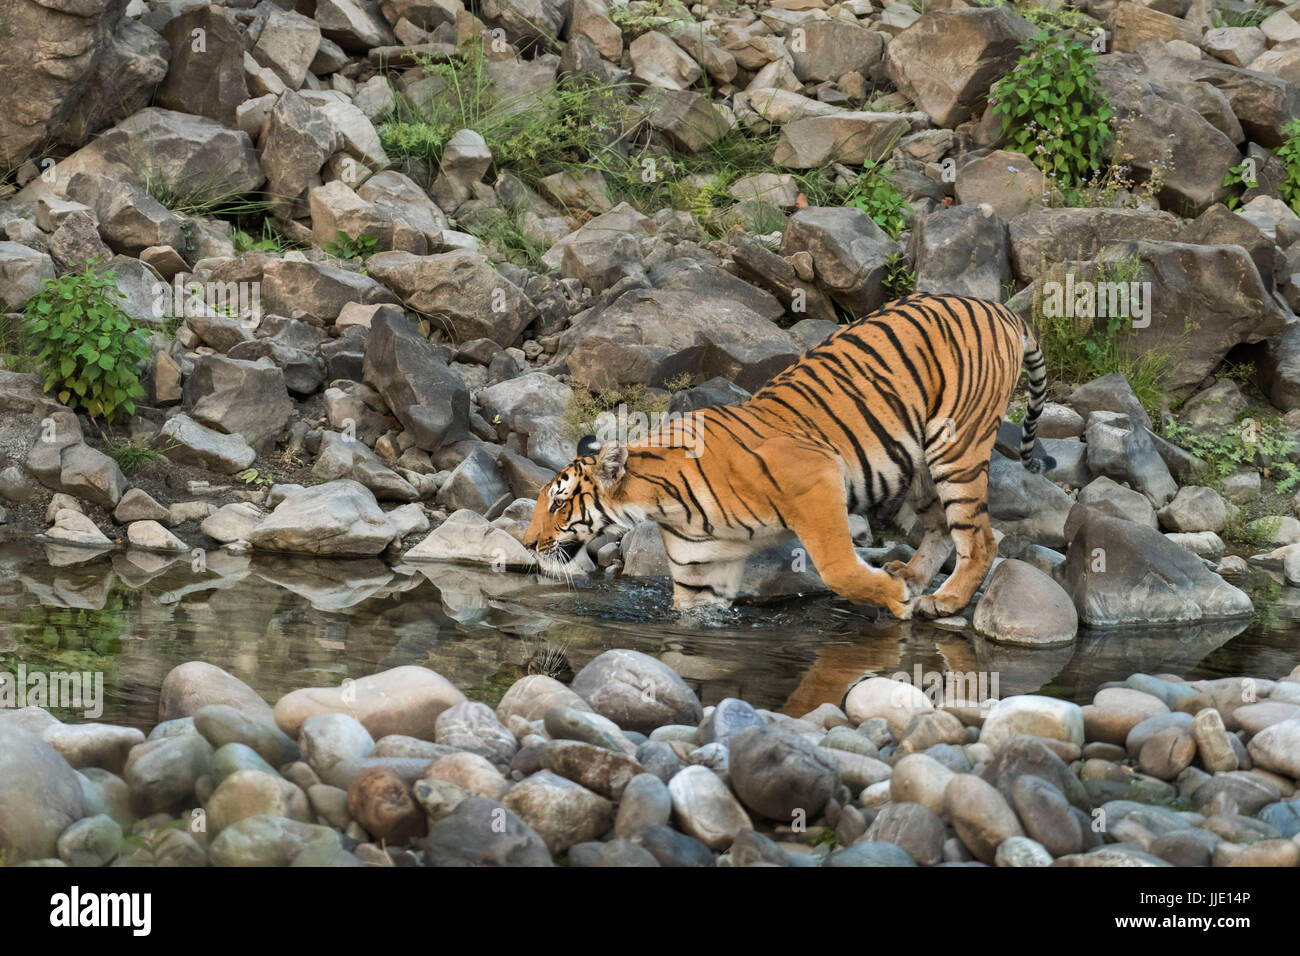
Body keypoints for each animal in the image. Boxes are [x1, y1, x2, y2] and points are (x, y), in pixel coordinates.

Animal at [523, 293, 1053, 620]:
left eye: (559, 503)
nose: (527, 544)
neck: (664, 505)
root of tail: (999, 308)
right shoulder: (699, 577)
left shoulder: (817, 480)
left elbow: (840, 570)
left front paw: (895, 598)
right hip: (920, 467)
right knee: (942, 528)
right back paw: (915, 577)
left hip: (956, 447)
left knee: (980, 539)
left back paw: (941, 600)